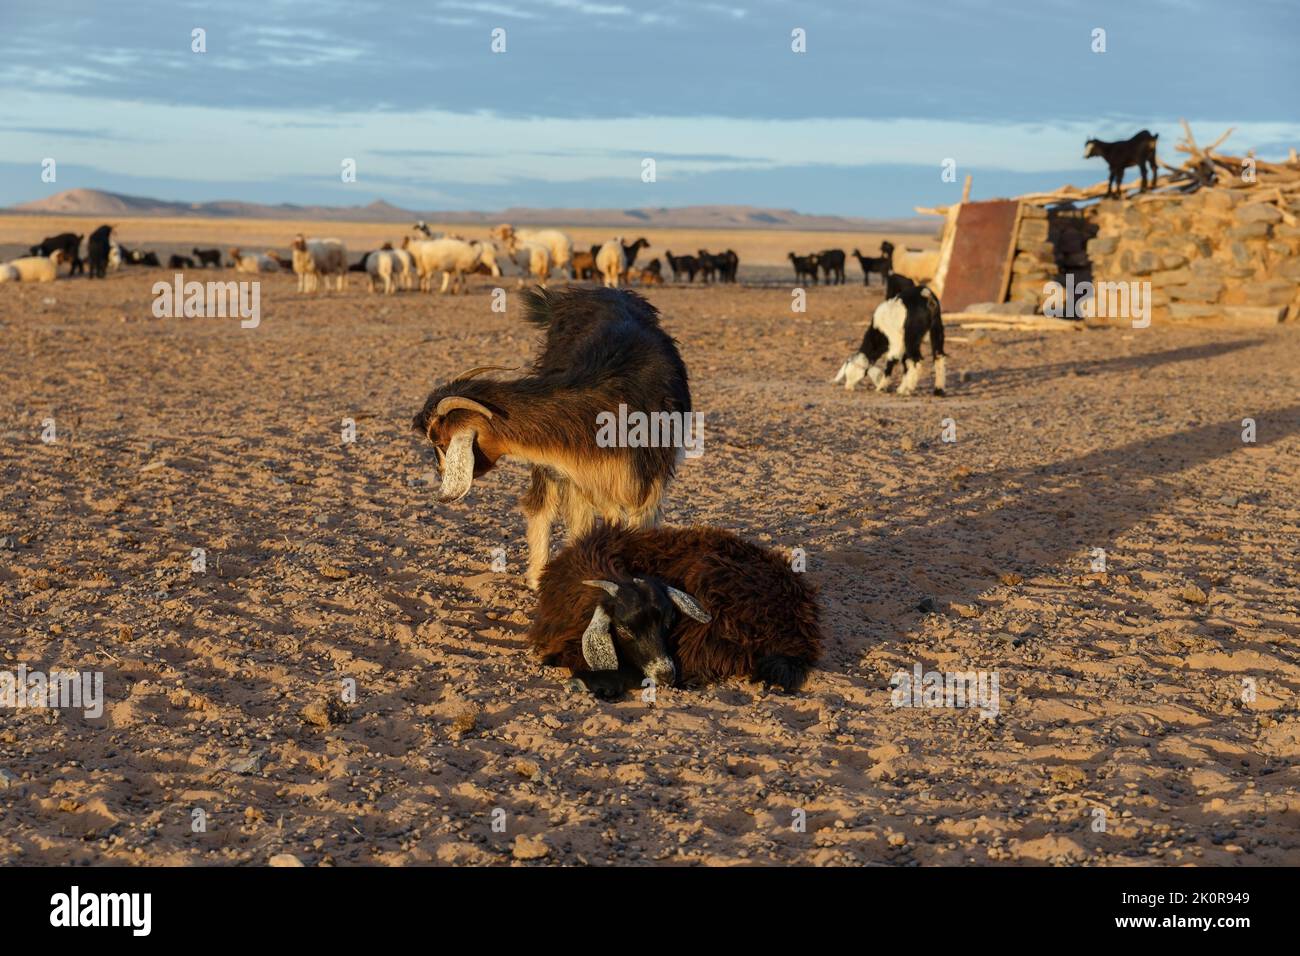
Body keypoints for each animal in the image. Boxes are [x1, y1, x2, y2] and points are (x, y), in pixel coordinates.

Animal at [411, 287, 690, 590]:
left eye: (440, 442)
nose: (439, 471)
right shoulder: (580, 475)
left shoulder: (641, 483)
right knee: (544, 506)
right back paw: (539, 577)